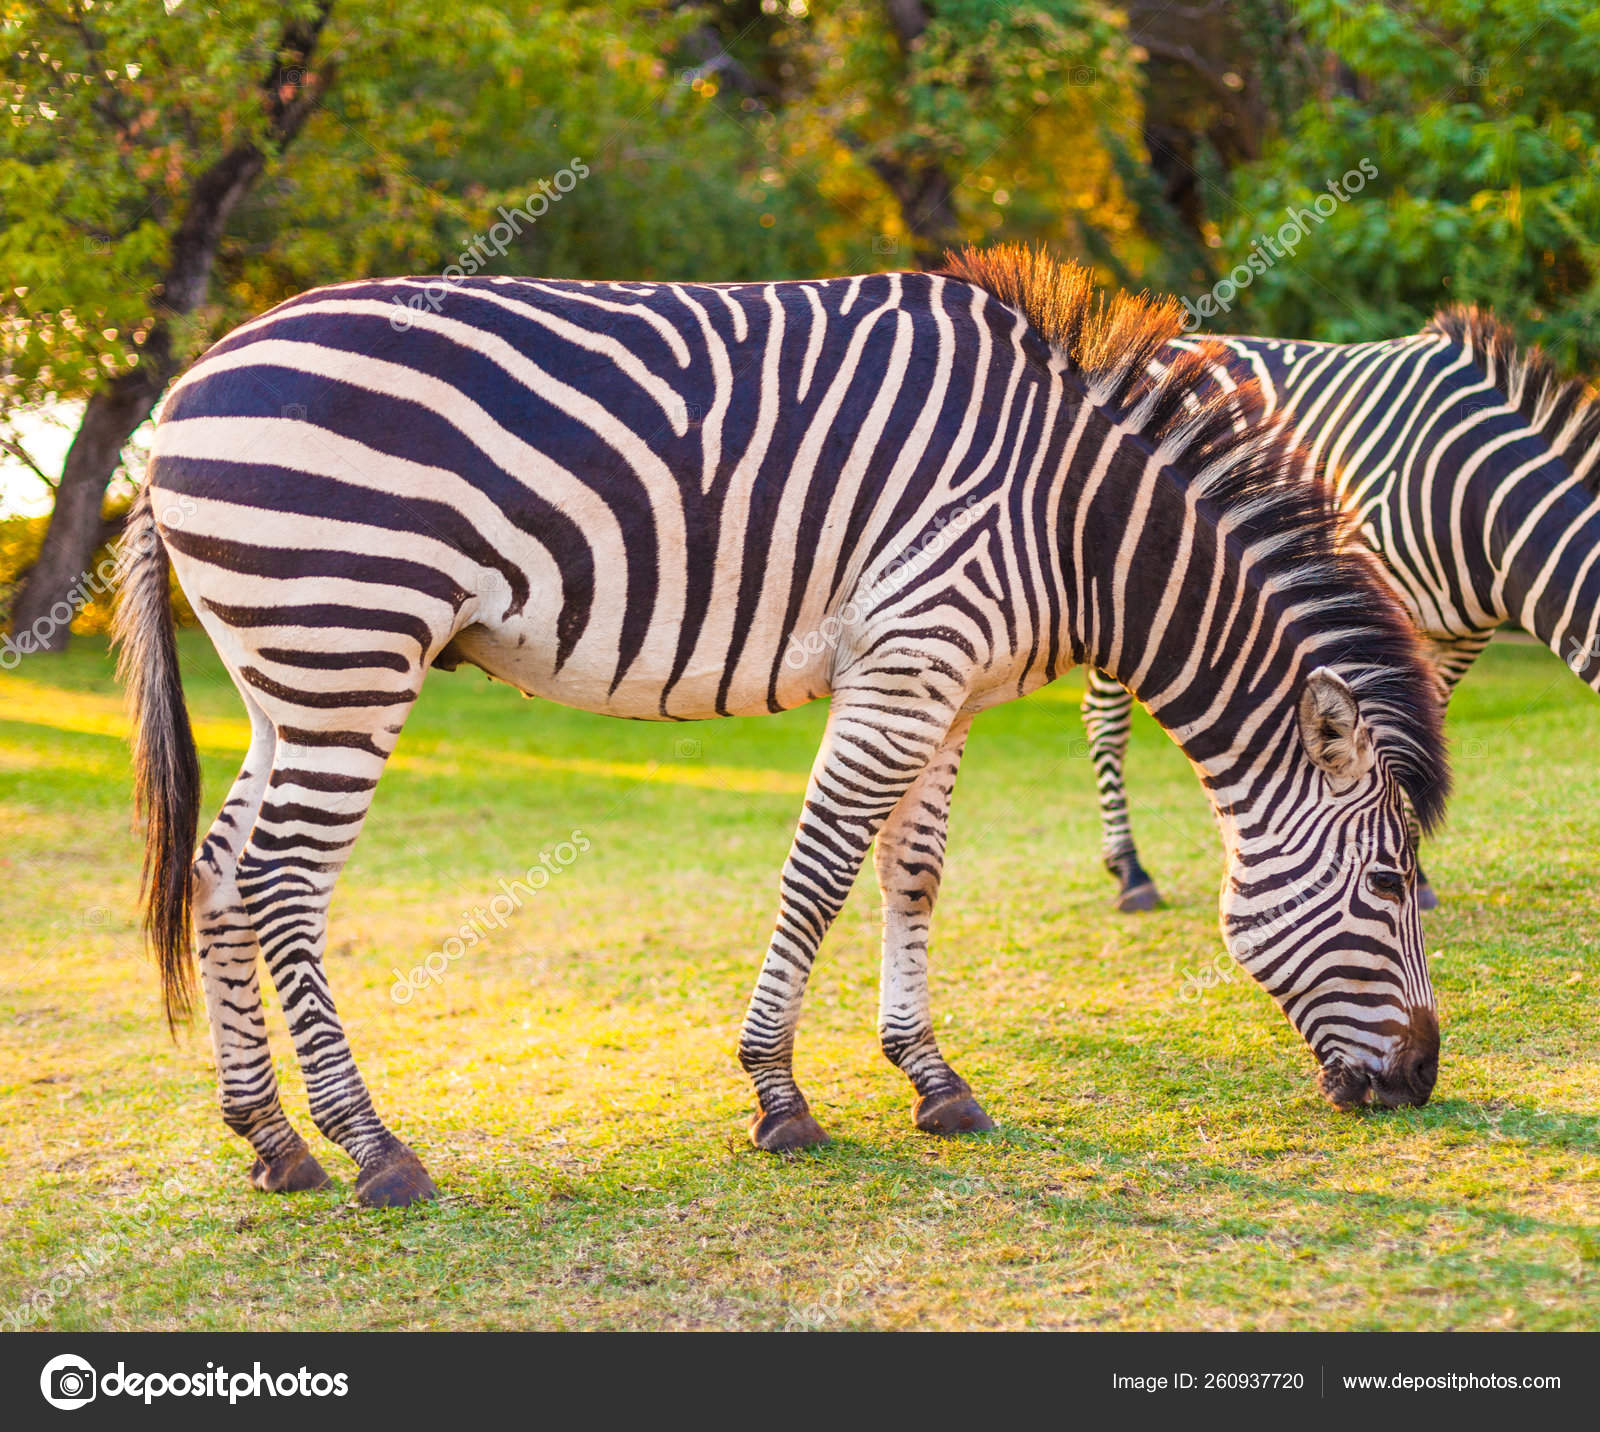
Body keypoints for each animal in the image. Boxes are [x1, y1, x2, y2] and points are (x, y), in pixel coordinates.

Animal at [114, 246, 1448, 1208]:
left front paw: (932, 1079)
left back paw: (274, 1142)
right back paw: (375, 1149)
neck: (1071, 516)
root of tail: (180, 392)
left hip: (288, 671)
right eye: (1390, 884)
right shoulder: (906, 657)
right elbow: (820, 869)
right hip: (349, 640)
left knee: (220, 870)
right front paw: (779, 1095)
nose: (1424, 1080)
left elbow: (912, 873)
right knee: (283, 883)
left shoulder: (947, 682)